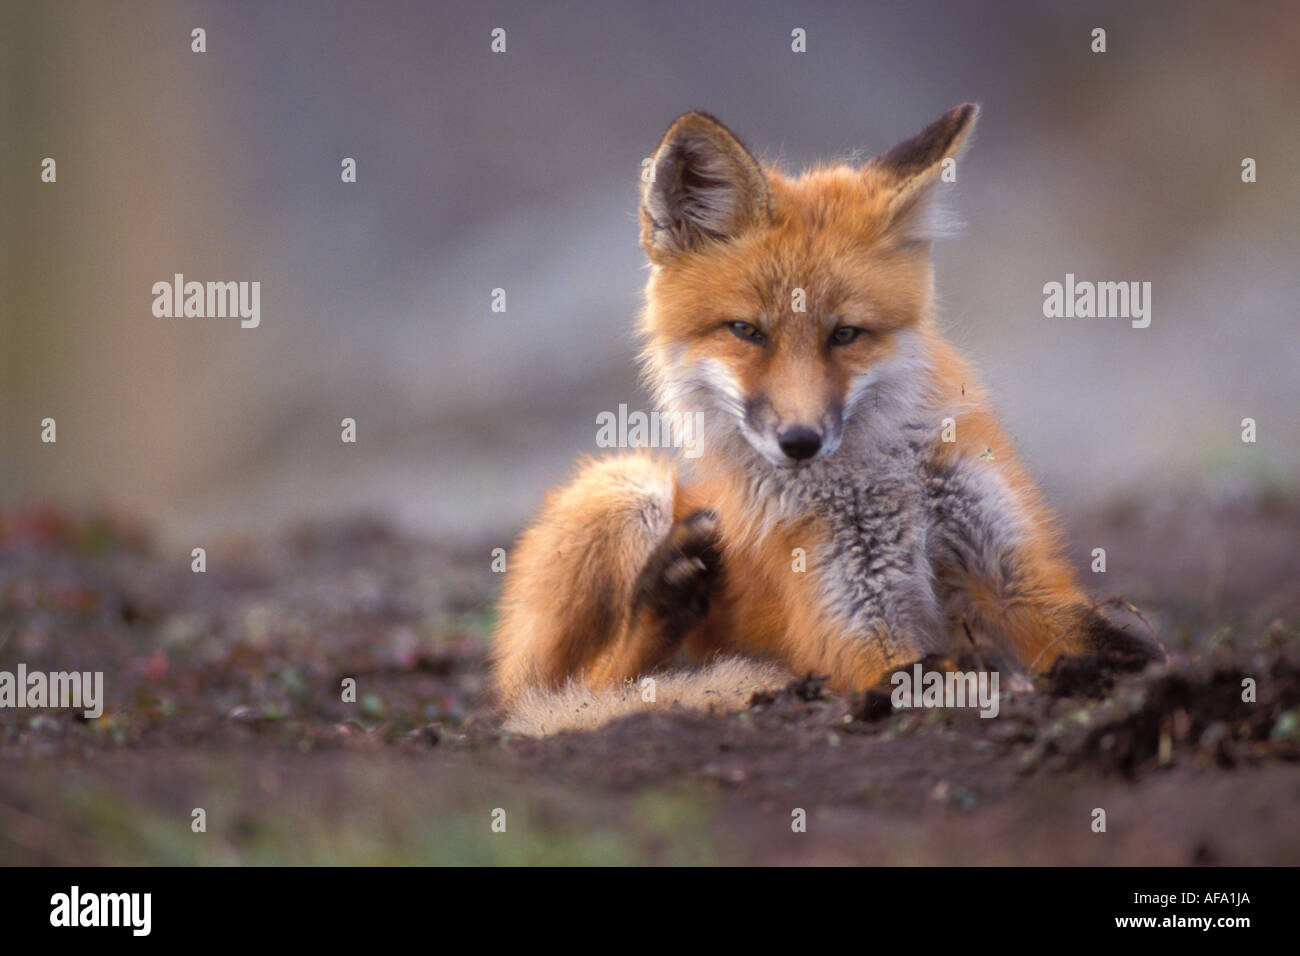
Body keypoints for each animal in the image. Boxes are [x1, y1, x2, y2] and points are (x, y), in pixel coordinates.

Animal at [493, 104, 1160, 735]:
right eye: (746, 331)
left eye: (845, 334)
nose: (800, 441)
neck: (881, 482)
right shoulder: (856, 629)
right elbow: (915, 675)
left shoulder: (1017, 578)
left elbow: (1118, 643)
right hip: (625, 487)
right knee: (578, 689)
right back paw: (662, 602)